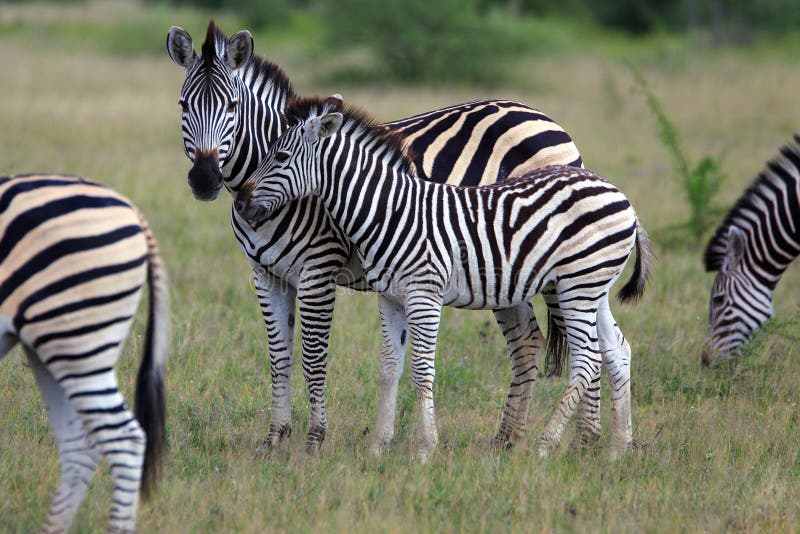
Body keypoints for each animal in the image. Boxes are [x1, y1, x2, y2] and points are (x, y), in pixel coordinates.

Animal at [166, 20, 602, 455]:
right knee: (535, 342)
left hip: (556, 267)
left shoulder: (318, 271)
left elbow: (313, 357)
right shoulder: (265, 275)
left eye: (231, 107)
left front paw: (315, 441)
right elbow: (279, 357)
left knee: (587, 342)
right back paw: (517, 441)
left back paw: (584, 443)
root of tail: (547, 120)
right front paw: (275, 439)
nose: (204, 179)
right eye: (183, 106)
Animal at [235, 98, 652, 461]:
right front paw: (378, 447)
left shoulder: (424, 294)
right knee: (616, 349)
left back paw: (547, 445)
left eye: (280, 157)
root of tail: (621, 196)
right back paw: (618, 448)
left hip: (575, 286)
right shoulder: (390, 298)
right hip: (592, 286)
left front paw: (424, 449)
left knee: (586, 359)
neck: (388, 210)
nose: (240, 201)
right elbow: (388, 368)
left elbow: (422, 371)